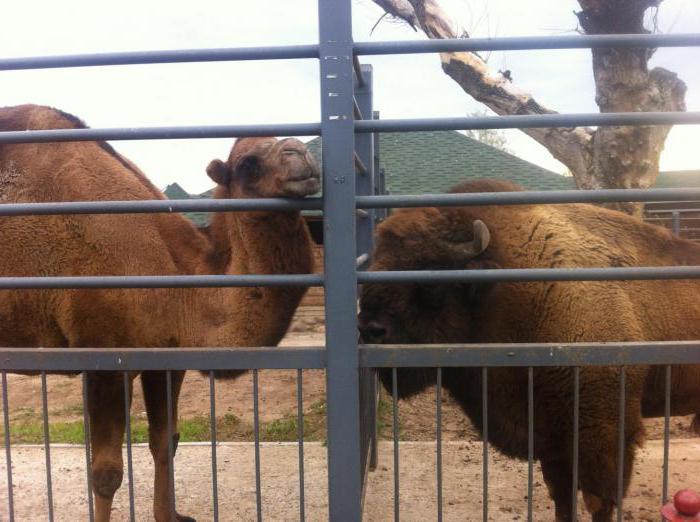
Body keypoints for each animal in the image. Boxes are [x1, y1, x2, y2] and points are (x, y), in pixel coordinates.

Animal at [0, 103, 318, 516]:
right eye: (248, 163)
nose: (301, 151)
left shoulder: (166, 358)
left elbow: (166, 441)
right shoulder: (105, 357)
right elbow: (106, 473)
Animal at [360, 180, 700, 520]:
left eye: (431, 280)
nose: (369, 329)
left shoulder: (604, 433)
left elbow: (599, 500)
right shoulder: (552, 436)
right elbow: (563, 496)